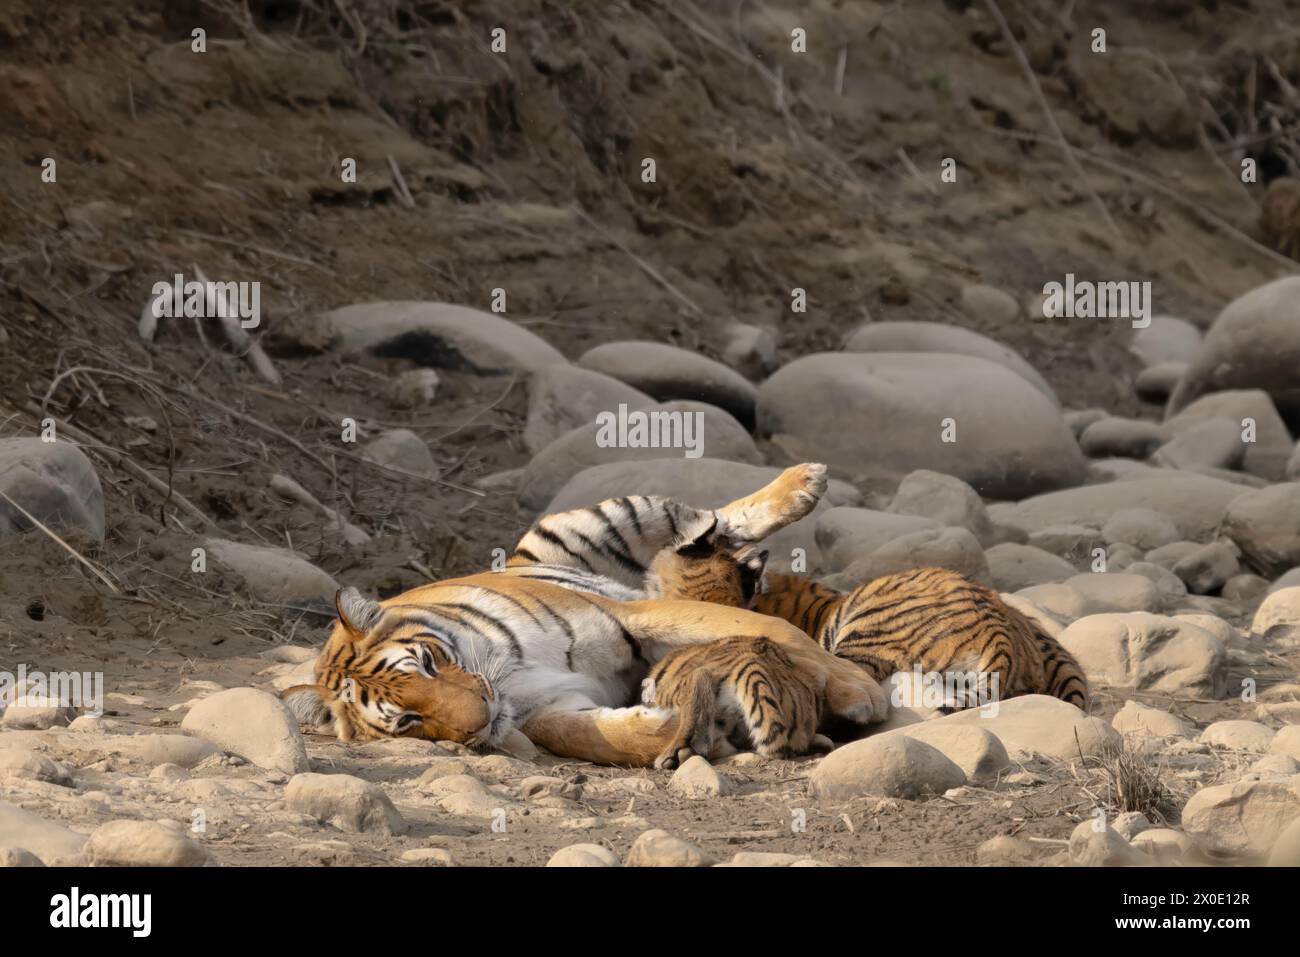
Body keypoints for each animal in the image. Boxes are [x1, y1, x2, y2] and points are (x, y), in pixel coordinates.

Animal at [282, 464, 890, 767]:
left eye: (428, 662)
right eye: (407, 720)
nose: (479, 722)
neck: (506, 680)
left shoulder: (630, 612)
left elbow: (768, 626)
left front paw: (858, 690)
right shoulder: (550, 708)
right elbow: (590, 737)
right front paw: (672, 730)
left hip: (594, 521)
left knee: (705, 517)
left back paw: (804, 482)